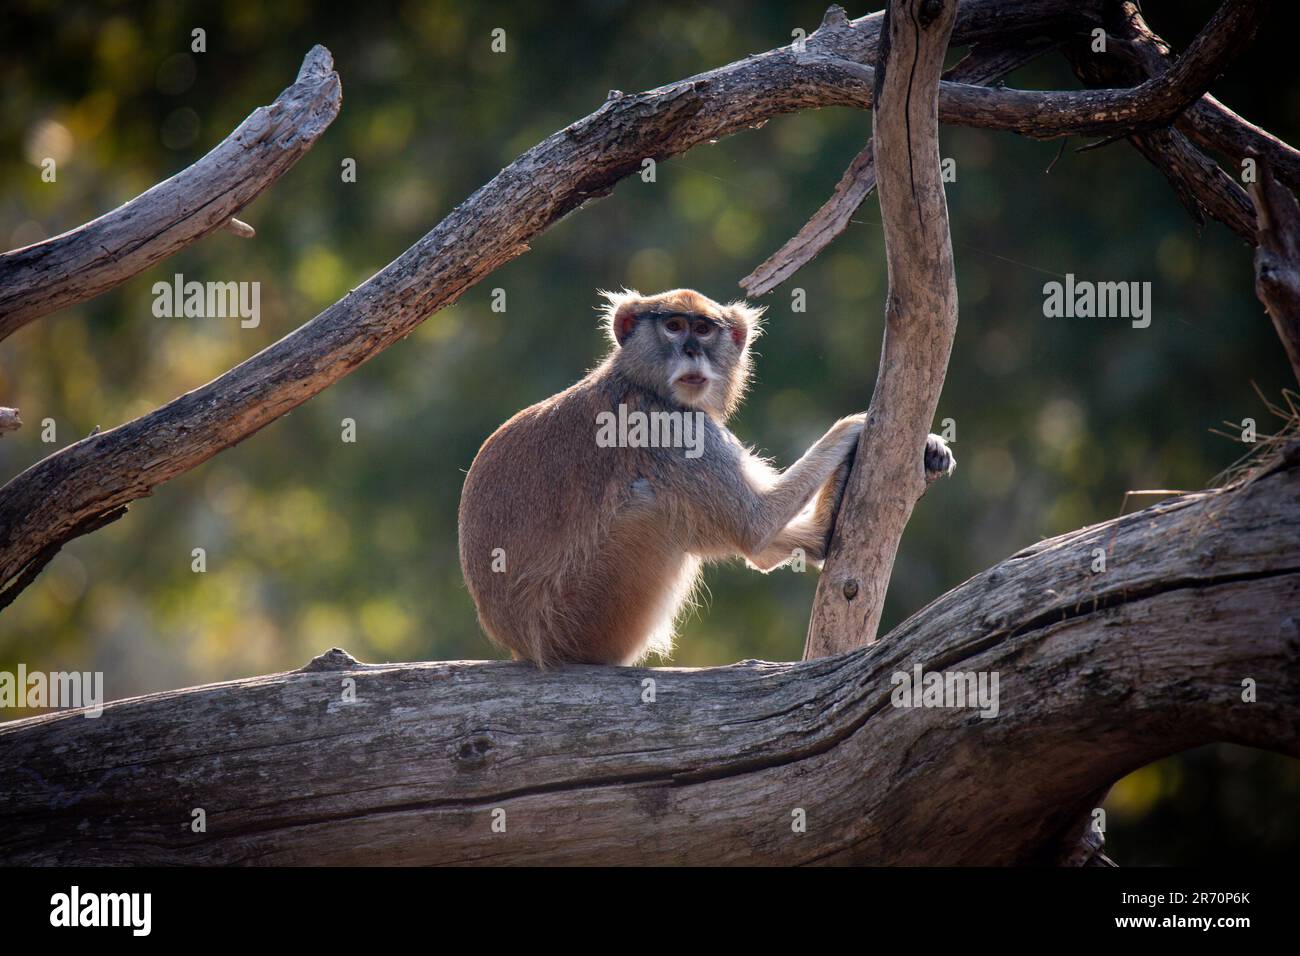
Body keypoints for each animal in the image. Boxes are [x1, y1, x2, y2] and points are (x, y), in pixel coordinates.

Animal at [457, 288, 955, 667]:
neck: (638, 380)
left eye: (704, 330)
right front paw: (857, 426)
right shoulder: (670, 428)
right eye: (674, 326)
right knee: (653, 506)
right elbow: (753, 527)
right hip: (583, 619)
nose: (692, 351)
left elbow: (760, 544)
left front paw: (928, 448)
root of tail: (523, 644)